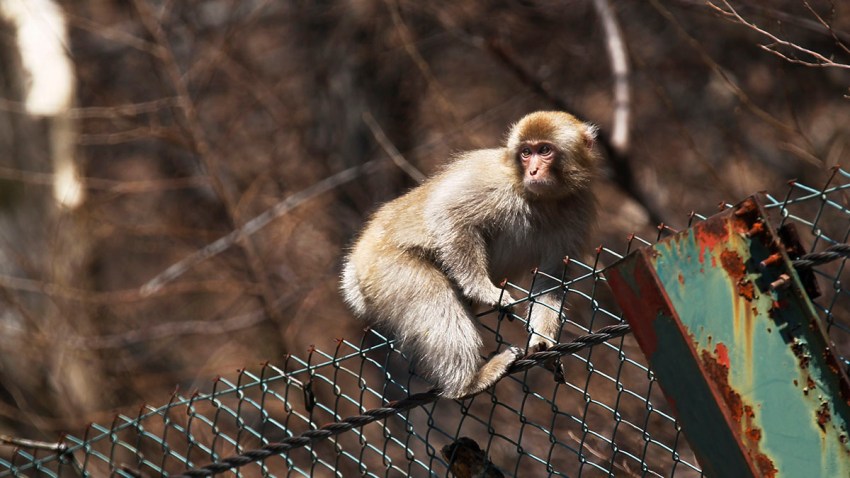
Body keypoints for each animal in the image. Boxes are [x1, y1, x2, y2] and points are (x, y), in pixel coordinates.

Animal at [341, 111, 598, 399]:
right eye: (525, 153)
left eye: (544, 150)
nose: (533, 170)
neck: (540, 199)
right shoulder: (492, 179)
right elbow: (448, 216)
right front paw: (485, 292)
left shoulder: (578, 209)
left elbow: (552, 276)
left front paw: (542, 342)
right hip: (384, 266)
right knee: (435, 298)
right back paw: (468, 383)